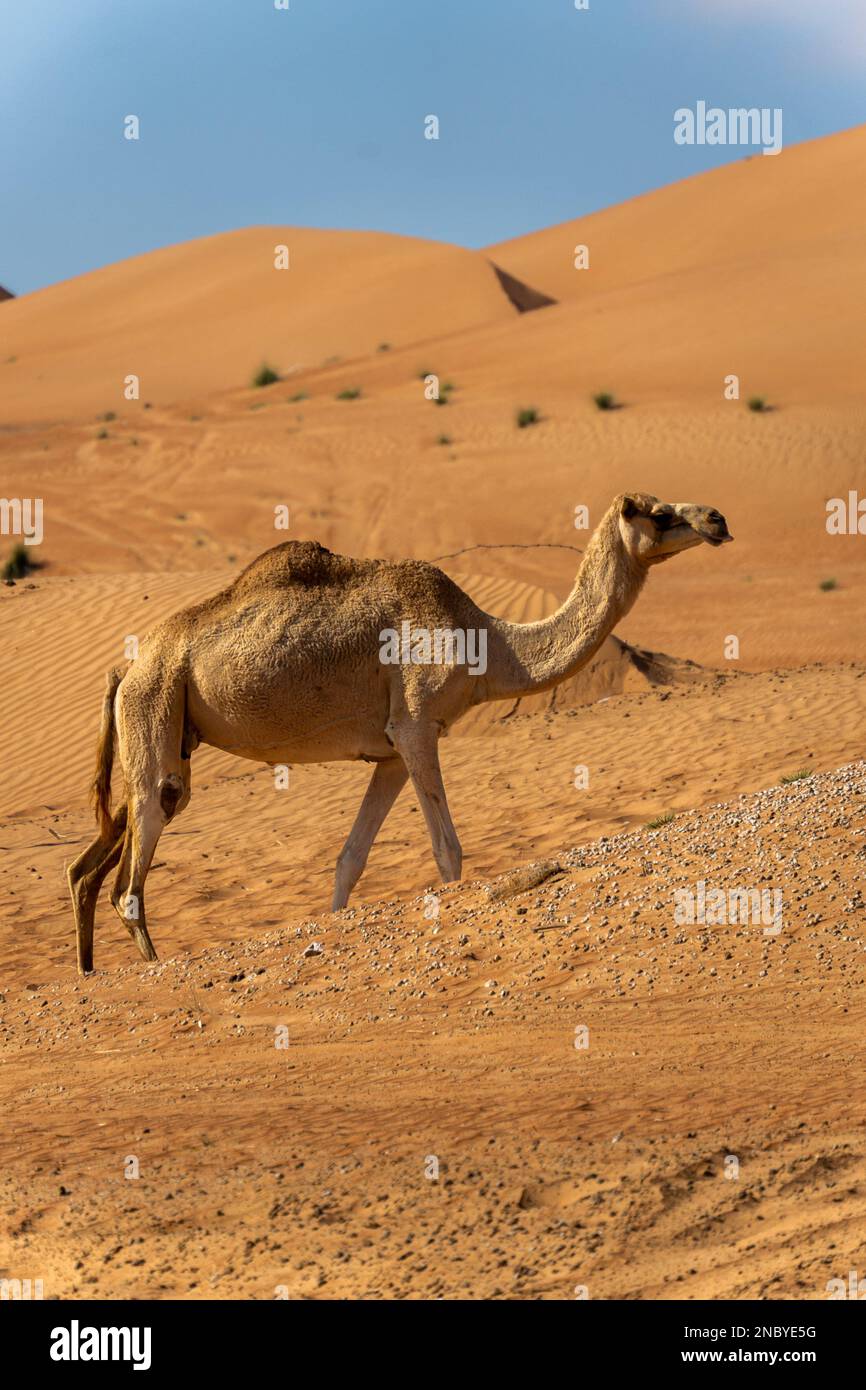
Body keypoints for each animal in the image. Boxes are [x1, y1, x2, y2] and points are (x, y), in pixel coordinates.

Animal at [68, 492, 732, 973]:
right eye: (659, 512)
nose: (719, 518)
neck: (488, 644)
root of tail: (127, 666)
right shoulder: (416, 726)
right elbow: (447, 848)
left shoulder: (387, 751)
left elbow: (350, 859)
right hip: (156, 705)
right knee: (132, 874)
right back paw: (151, 967)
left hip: (164, 729)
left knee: (92, 861)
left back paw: (88, 970)